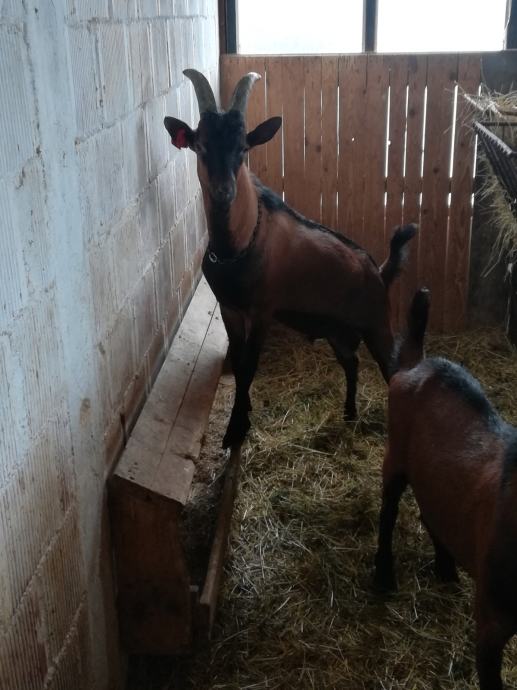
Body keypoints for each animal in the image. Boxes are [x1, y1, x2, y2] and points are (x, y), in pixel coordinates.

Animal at [164, 69, 416, 449]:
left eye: (243, 147)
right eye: (201, 145)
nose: (224, 192)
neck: (238, 244)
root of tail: (378, 271)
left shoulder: (262, 311)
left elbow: (249, 367)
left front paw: (236, 429)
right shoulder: (229, 308)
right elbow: (238, 362)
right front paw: (243, 416)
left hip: (377, 324)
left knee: (393, 370)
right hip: (338, 331)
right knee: (352, 363)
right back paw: (349, 413)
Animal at [374, 288, 517, 690]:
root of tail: (415, 365)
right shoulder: (491, 623)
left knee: (431, 511)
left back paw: (446, 567)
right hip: (395, 457)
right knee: (388, 513)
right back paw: (383, 577)